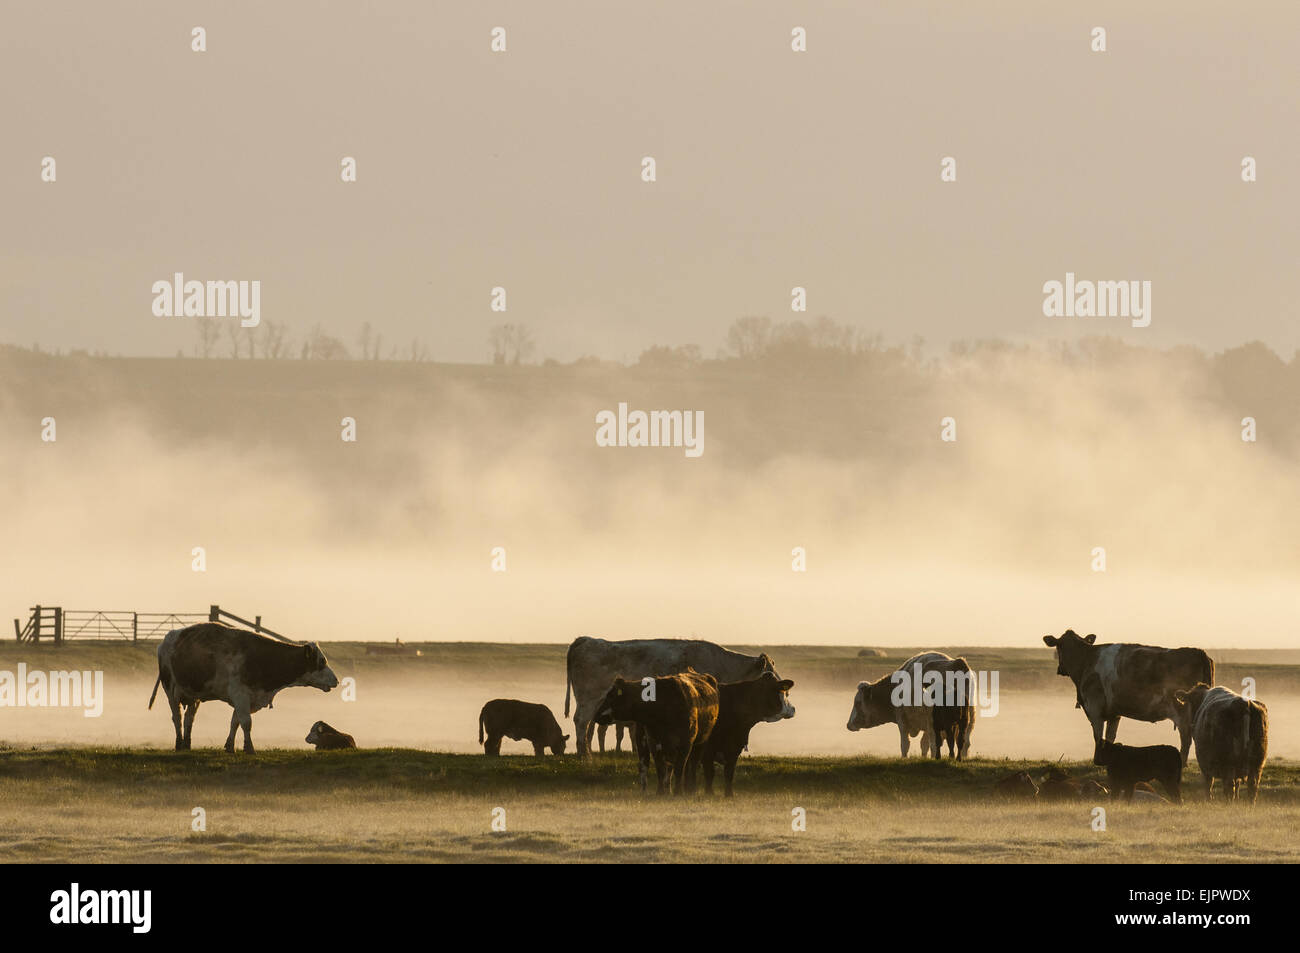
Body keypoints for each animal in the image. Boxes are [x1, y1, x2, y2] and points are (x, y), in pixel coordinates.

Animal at [147, 622, 339, 753]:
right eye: (322, 662)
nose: (336, 681)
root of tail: (167, 640)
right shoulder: (240, 694)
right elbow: (246, 722)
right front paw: (249, 748)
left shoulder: (247, 697)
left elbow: (235, 722)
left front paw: (230, 746)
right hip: (170, 690)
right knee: (177, 718)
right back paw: (179, 744)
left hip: (194, 694)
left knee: (189, 718)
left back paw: (187, 744)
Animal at [846, 652, 976, 758]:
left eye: (857, 703)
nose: (848, 724)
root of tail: (957, 663)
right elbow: (924, 745)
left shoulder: (903, 720)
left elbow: (905, 745)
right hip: (968, 718)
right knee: (964, 742)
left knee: (937, 743)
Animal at [1042, 629, 1213, 765]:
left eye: (1058, 646)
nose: (1060, 669)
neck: (1086, 661)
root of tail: (1198, 651)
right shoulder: (1114, 712)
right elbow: (1109, 736)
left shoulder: (1095, 707)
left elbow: (1097, 735)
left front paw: (1097, 760)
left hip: (1181, 711)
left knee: (1186, 737)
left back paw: (1183, 763)